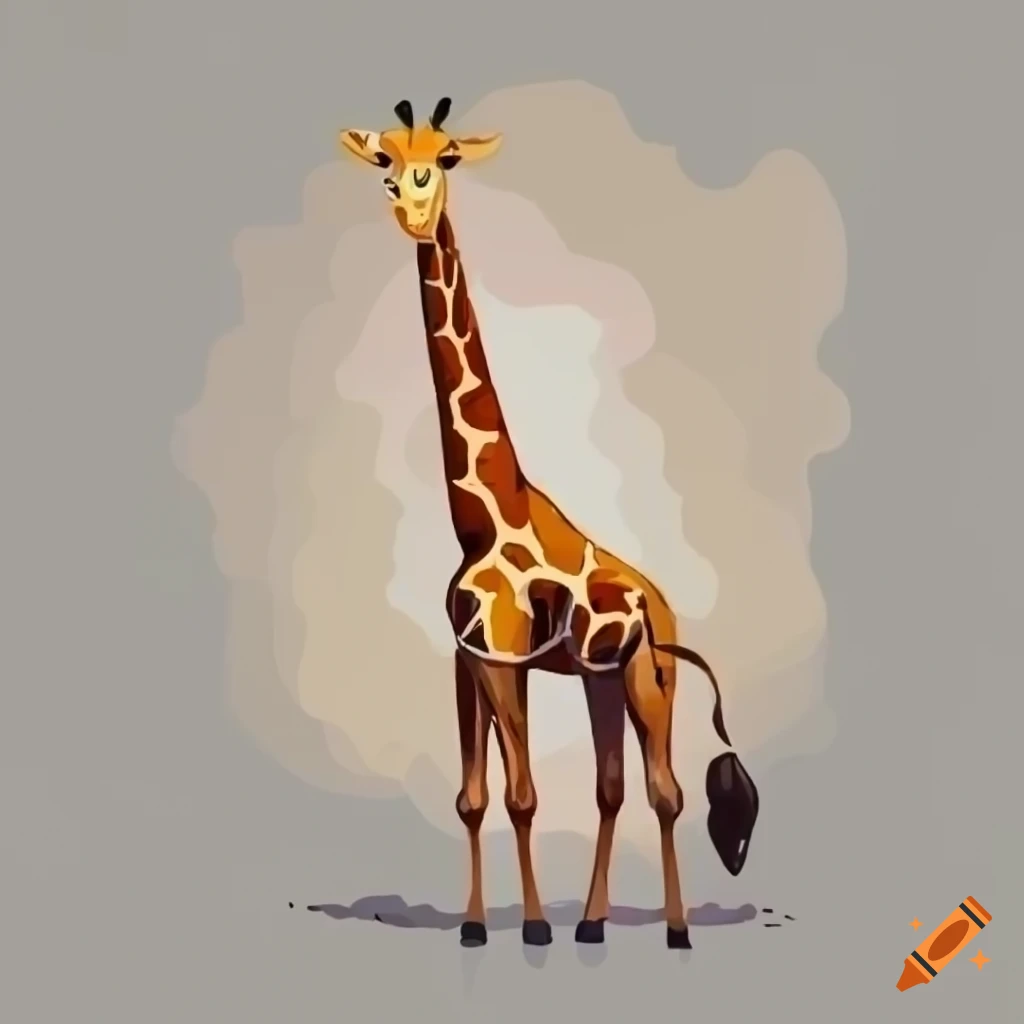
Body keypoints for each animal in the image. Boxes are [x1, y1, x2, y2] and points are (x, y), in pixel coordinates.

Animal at [338, 98, 759, 949]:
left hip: (648, 681)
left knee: (666, 790)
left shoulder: (506, 659)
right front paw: (475, 926)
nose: (412, 212)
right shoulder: (468, 659)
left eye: (447, 161)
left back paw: (673, 929)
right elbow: (475, 797)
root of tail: (667, 609)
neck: (482, 517)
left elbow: (523, 795)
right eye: (386, 168)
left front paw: (532, 926)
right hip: (600, 679)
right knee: (612, 786)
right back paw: (593, 923)